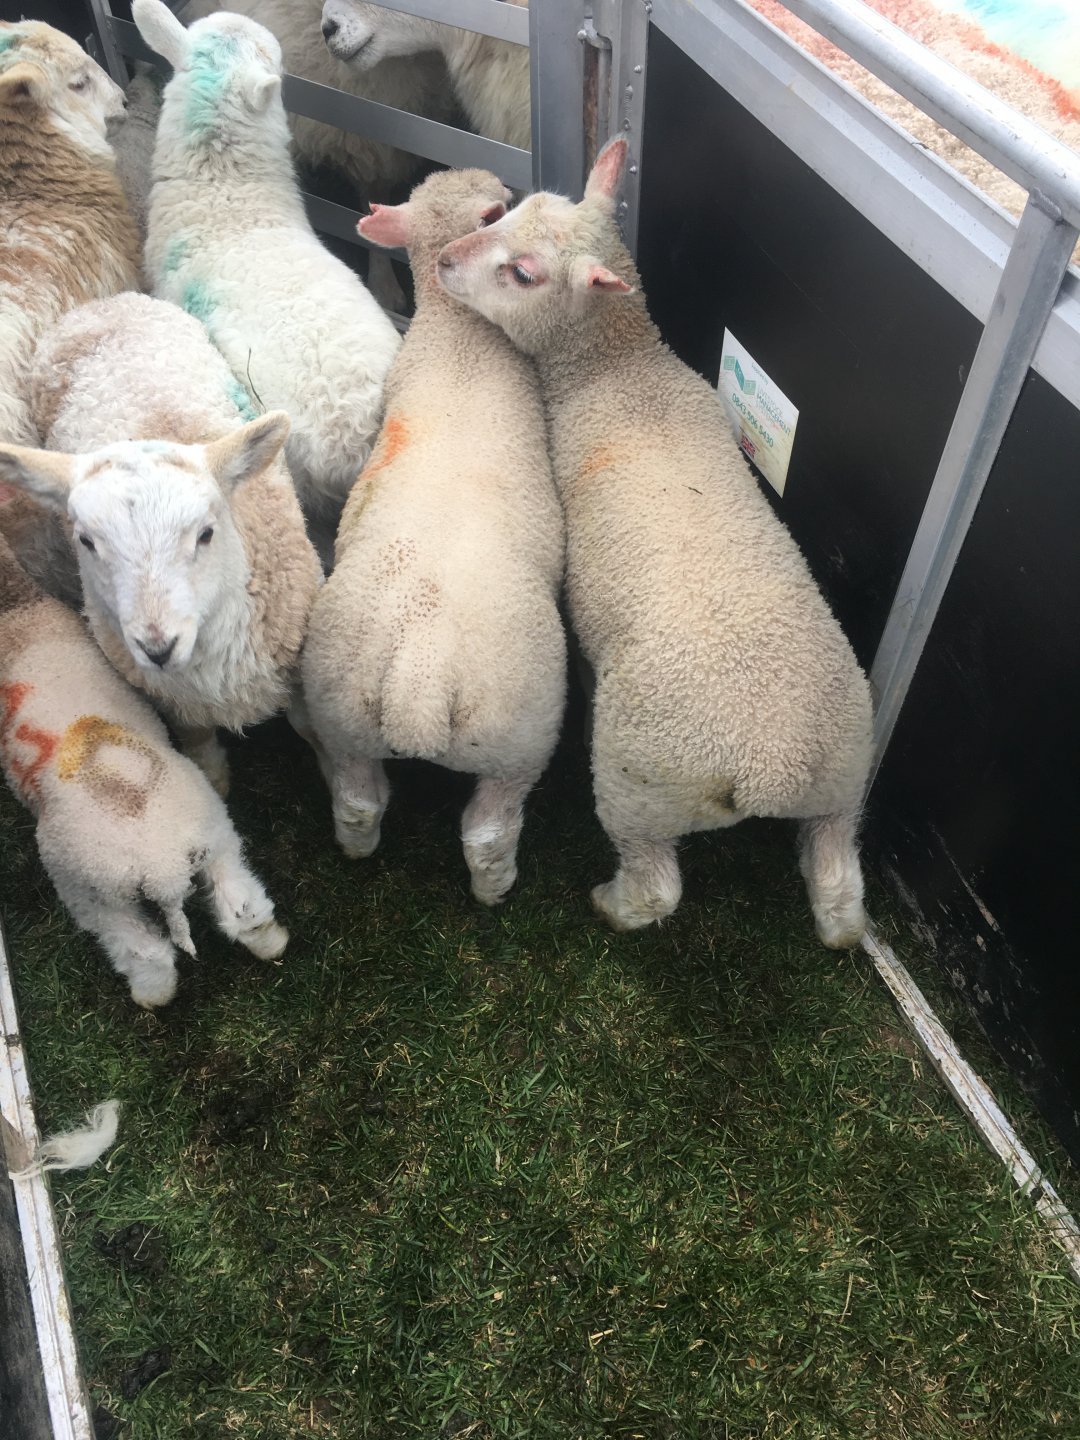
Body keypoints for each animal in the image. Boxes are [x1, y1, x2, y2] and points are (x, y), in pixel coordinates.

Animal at [0, 532, 288, 1009]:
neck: (17, 608)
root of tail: (161, 870)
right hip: (212, 837)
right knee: (240, 908)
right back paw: (270, 943)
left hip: (92, 892)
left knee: (141, 949)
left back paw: (153, 994)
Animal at [4, 291, 323, 796]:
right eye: (85, 541)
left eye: (206, 533)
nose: (158, 647)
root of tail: (104, 304)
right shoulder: (173, 699)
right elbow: (199, 746)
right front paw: (215, 786)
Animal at [300, 168, 566, 904]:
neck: (458, 338)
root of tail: (418, 680)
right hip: (517, 736)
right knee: (488, 831)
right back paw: (495, 890)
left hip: (340, 714)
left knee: (358, 801)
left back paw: (357, 850)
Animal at [437, 139, 873, 947]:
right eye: (513, 209)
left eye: (523, 273)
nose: (447, 259)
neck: (622, 374)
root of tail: (769, 764)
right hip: (842, 780)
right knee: (837, 881)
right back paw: (838, 924)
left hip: (640, 786)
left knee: (657, 888)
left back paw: (611, 903)